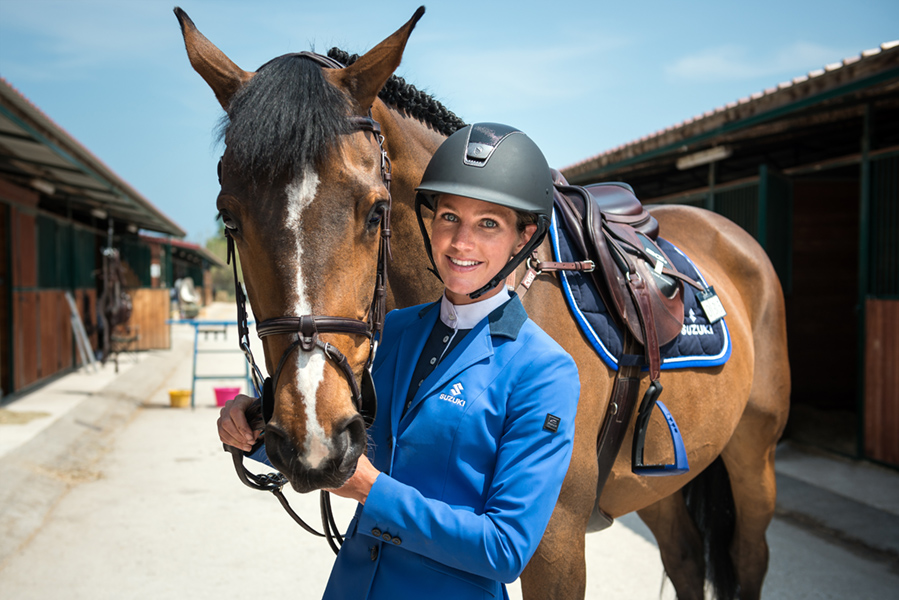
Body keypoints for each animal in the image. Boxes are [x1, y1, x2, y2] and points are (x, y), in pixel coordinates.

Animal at [175, 7, 790, 599]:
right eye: (230, 218)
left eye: (376, 210)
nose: (313, 439)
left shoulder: (555, 542)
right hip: (658, 484)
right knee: (685, 561)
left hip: (753, 460)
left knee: (751, 558)